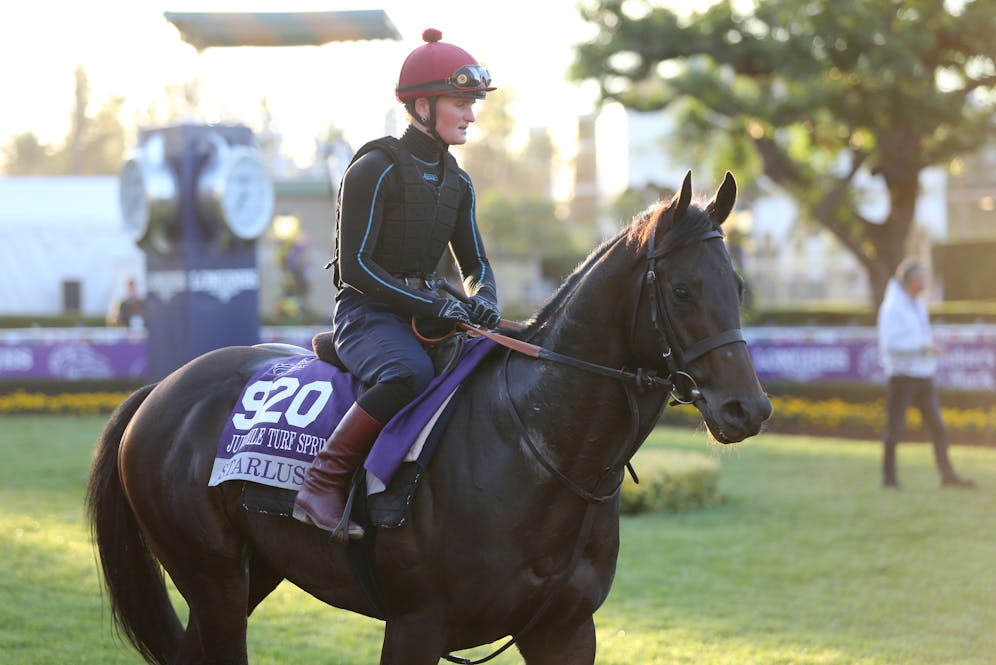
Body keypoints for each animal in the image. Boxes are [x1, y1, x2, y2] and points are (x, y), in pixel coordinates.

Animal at [86, 171, 771, 665]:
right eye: (682, 290)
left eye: (737, 287)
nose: (749, 407)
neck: (536, 448)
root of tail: (162, 387)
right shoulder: (417, 625)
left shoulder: (565, 631)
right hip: (214, 580)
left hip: (252, 575)